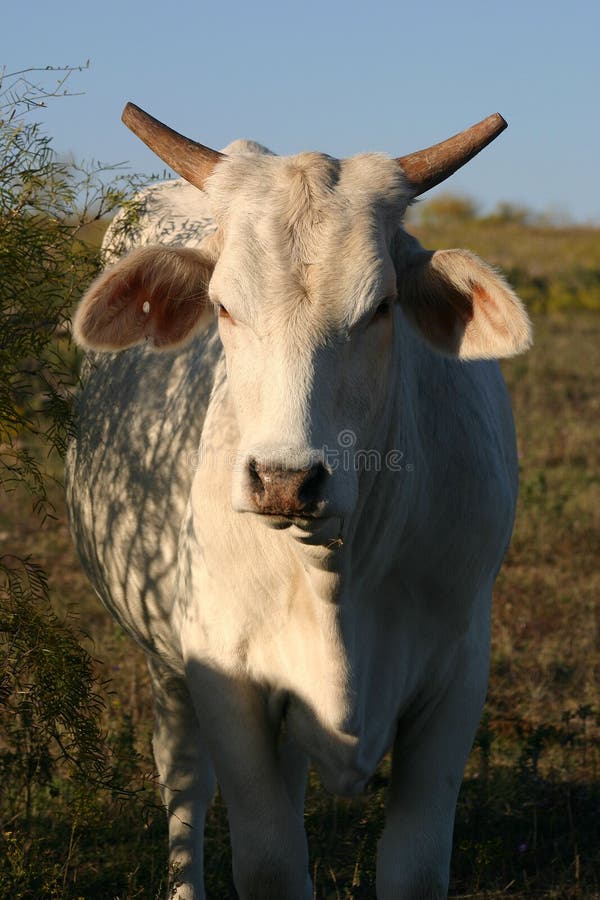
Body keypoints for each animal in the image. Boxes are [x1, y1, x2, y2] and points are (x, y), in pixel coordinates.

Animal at [66, 103, 531, 899]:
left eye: (382, 307)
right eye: (223, 306)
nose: (285, 479)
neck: (336, 577)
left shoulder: (459, 674)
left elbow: (413, 866)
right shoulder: (226, 675)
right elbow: (270, 862)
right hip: (167, 665)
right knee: (185, 786)